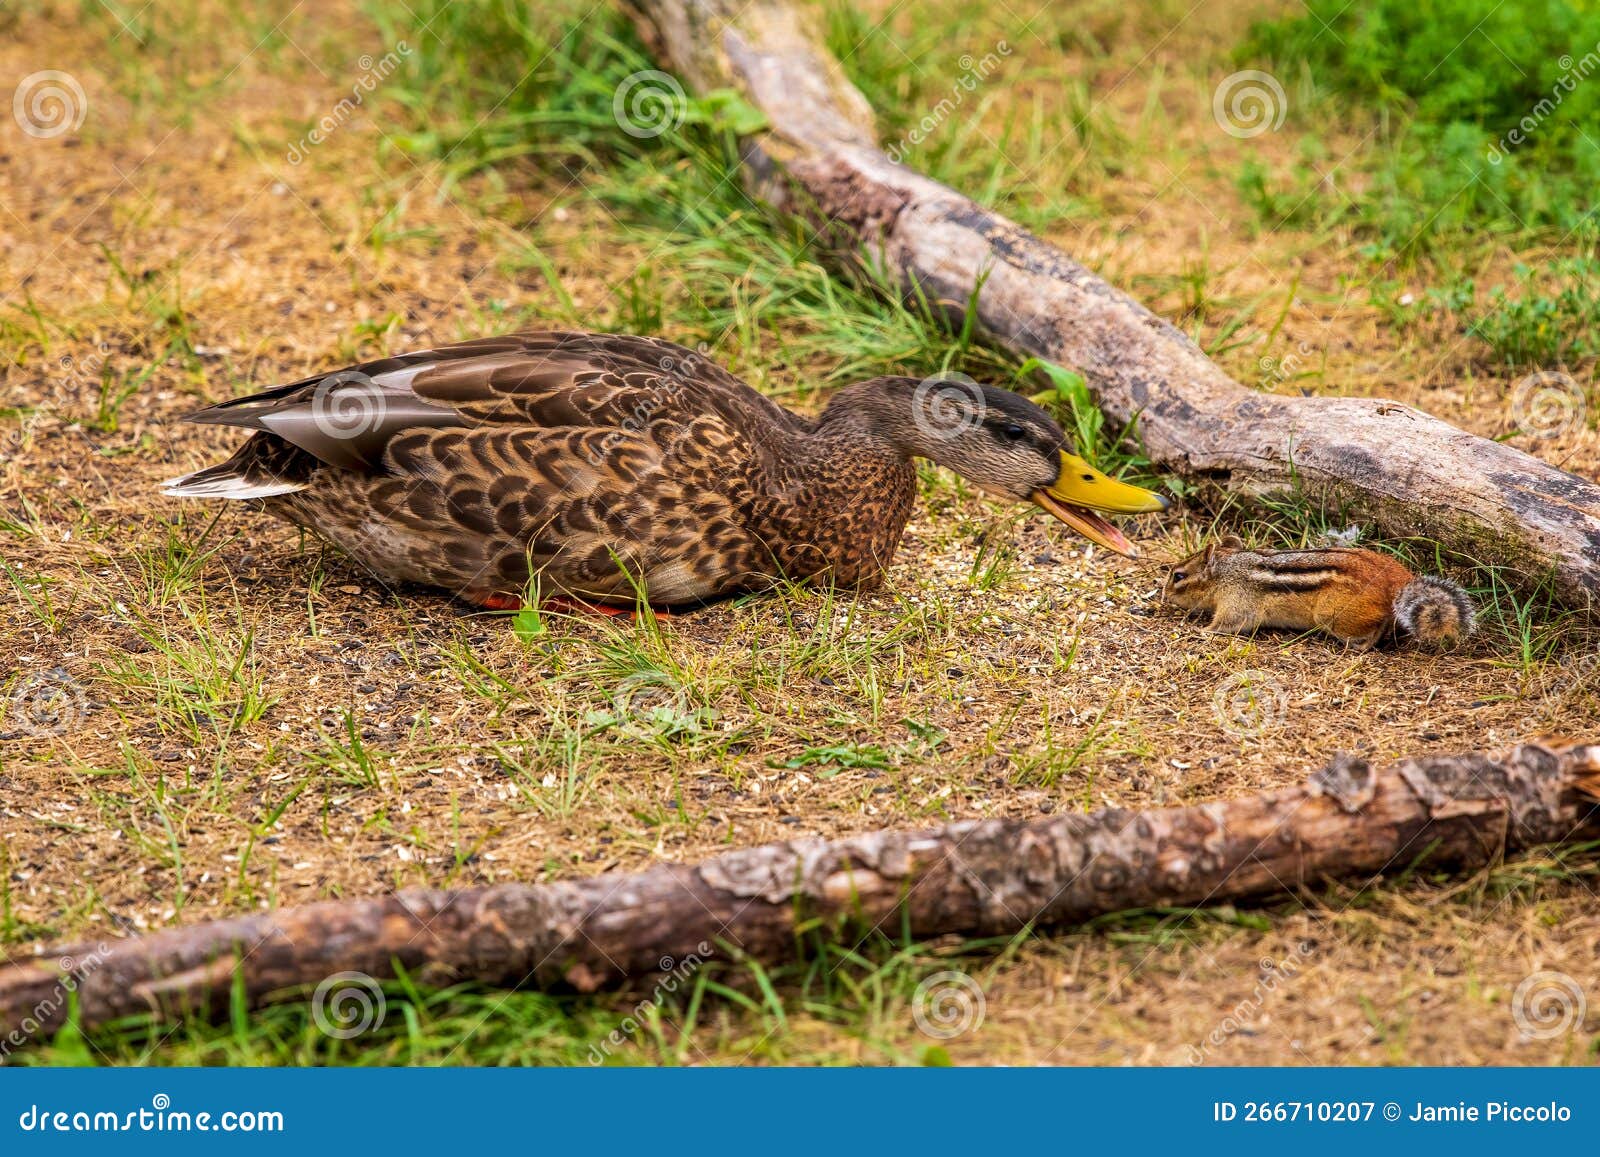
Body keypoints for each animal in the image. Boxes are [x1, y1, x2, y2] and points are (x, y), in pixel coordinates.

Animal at [1161, 535, 1476, 650]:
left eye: (1178, 576)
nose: (1164, 596)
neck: (1230, 569)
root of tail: (1397, 582)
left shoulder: (1237, 604)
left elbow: (1228, 625)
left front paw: (1201, 631)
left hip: (1332, 616)